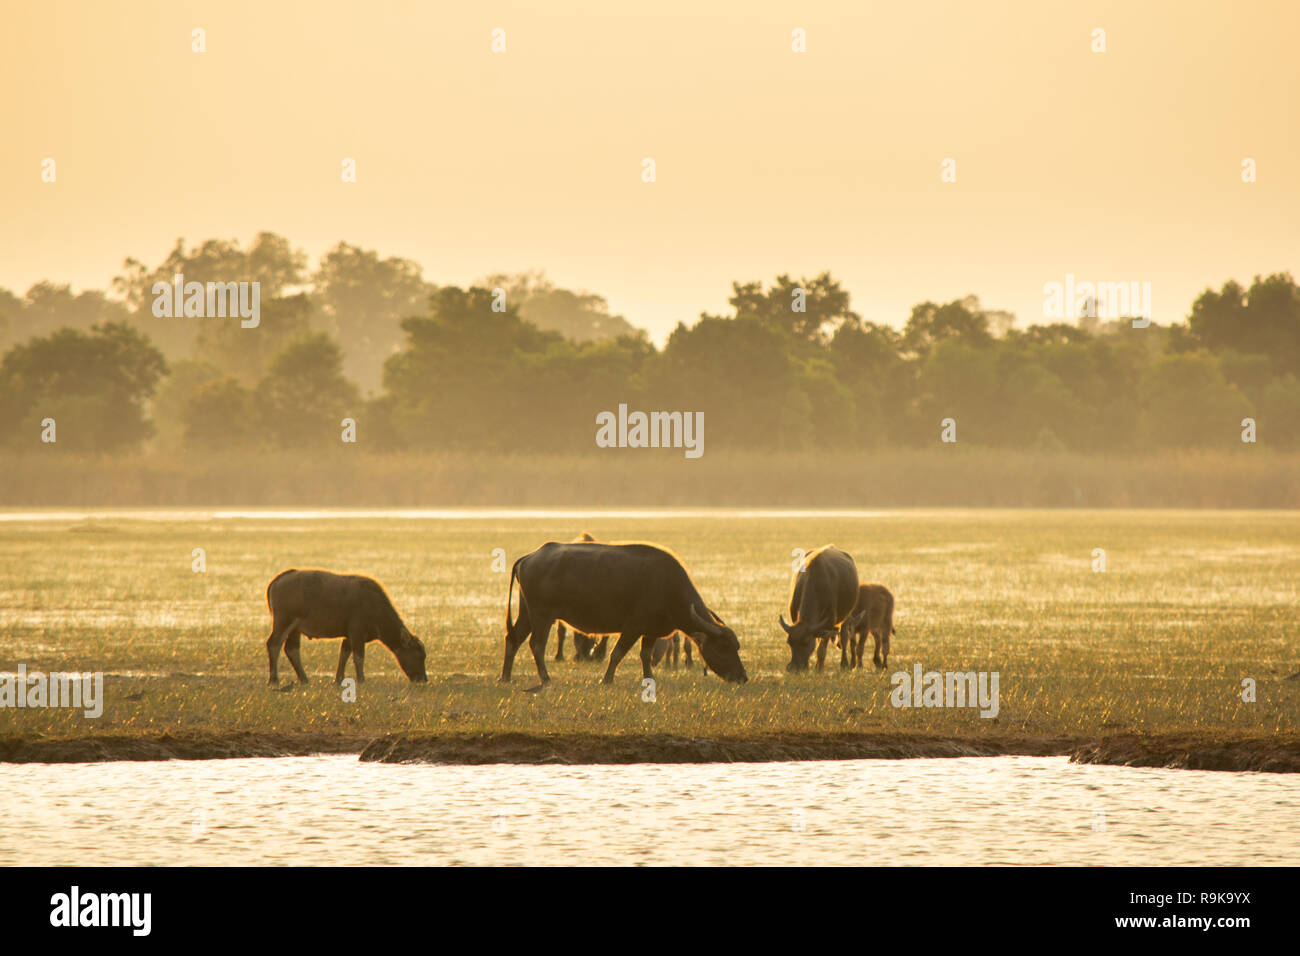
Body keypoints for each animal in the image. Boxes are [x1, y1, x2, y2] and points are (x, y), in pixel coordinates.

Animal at [265, 569, 427, 685]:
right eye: (419, 655)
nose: (423, 678)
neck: (375, 607)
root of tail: (279, 579)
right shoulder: (357, 633)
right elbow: (358, 657)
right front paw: (361, 679)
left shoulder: (349, 636)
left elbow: (344, 654)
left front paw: (338, 679)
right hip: (283, 621)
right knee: (274, 644)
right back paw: (274, 680)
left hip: (295, 629)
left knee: (291, 649)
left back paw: (304, 679)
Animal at [502, 540, 747, 686]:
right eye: (723, 647)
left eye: (736, 646)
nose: (742, 677)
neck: (668, 587)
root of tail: (529, 557)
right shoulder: (633, 627)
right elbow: (617, 653)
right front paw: (607, 680)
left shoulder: (651, 631)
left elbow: (645, 656)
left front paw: (649, 679)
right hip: (542, 615)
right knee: (536, 645)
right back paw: (546, 679)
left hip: (526, 613)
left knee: (513, 639)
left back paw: (505, 676)